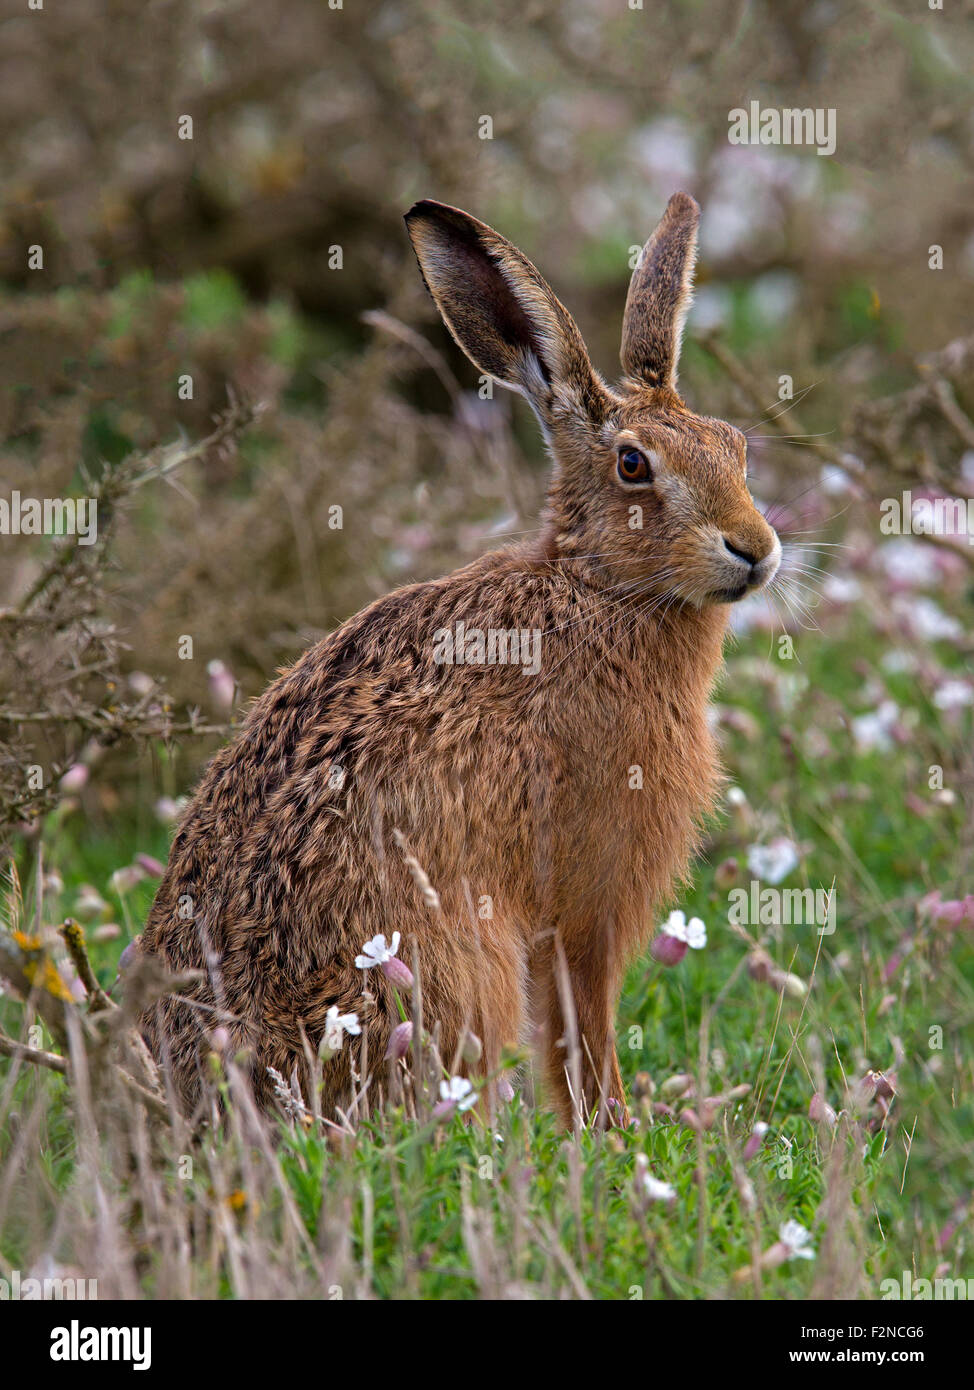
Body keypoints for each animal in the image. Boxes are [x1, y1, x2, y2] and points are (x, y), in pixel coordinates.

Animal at [138, 191, 780, 1128]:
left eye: (735, 446)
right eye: (634, 464)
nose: (756, 550)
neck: (599, 586)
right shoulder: (583, 902)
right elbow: (583, 1023)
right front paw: (613, 1132)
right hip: (439, 966)